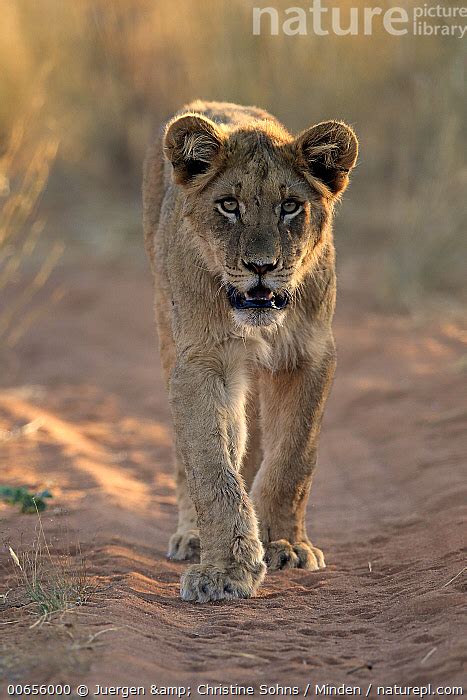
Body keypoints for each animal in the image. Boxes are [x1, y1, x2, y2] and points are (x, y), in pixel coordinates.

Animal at [143, 100, 358, 603]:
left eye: (289, 206)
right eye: (229, 205)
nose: (261, 267)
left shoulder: (309, 355)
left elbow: (293, 458)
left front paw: (284, 544)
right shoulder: (201, 360)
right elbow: (212, 468)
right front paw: (225, 569)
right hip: (167, 328)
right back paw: (192, 536)